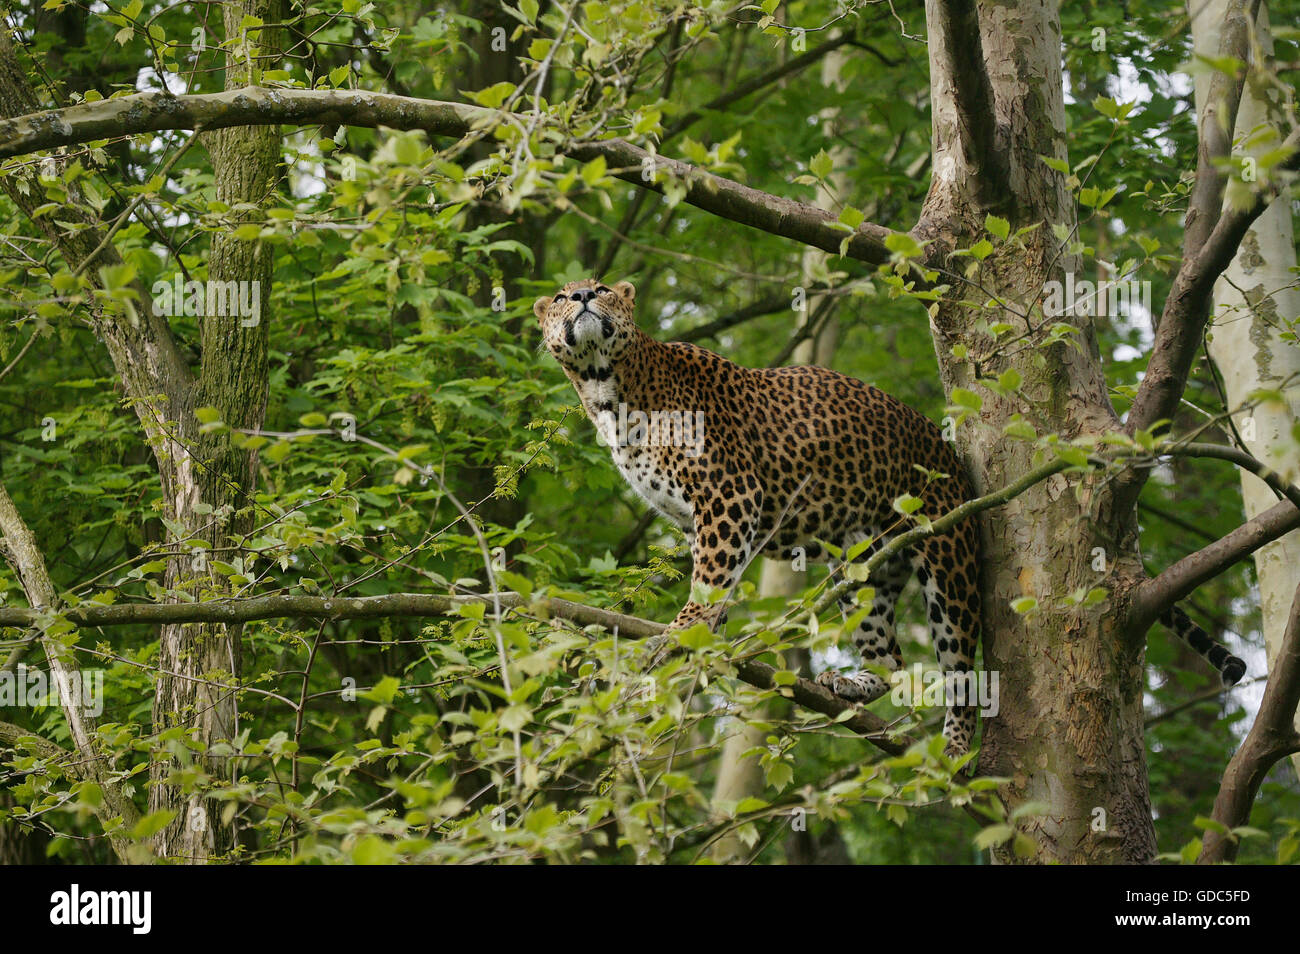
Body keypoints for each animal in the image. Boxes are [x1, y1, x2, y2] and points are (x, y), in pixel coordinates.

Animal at [535, 277, 1247, 755]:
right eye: (565, 296)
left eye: (602, 290)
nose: (586, 298)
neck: (608, 386)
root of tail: (952, 453)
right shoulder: (698, 520)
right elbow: (718, 585)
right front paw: (711, 638)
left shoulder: (729, 500)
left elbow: (708, 584)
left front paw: (679, 634)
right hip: (866, 563)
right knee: (893, 656)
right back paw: (852, 684)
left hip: (948, 562)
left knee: (961, 666)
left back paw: (957, 751)